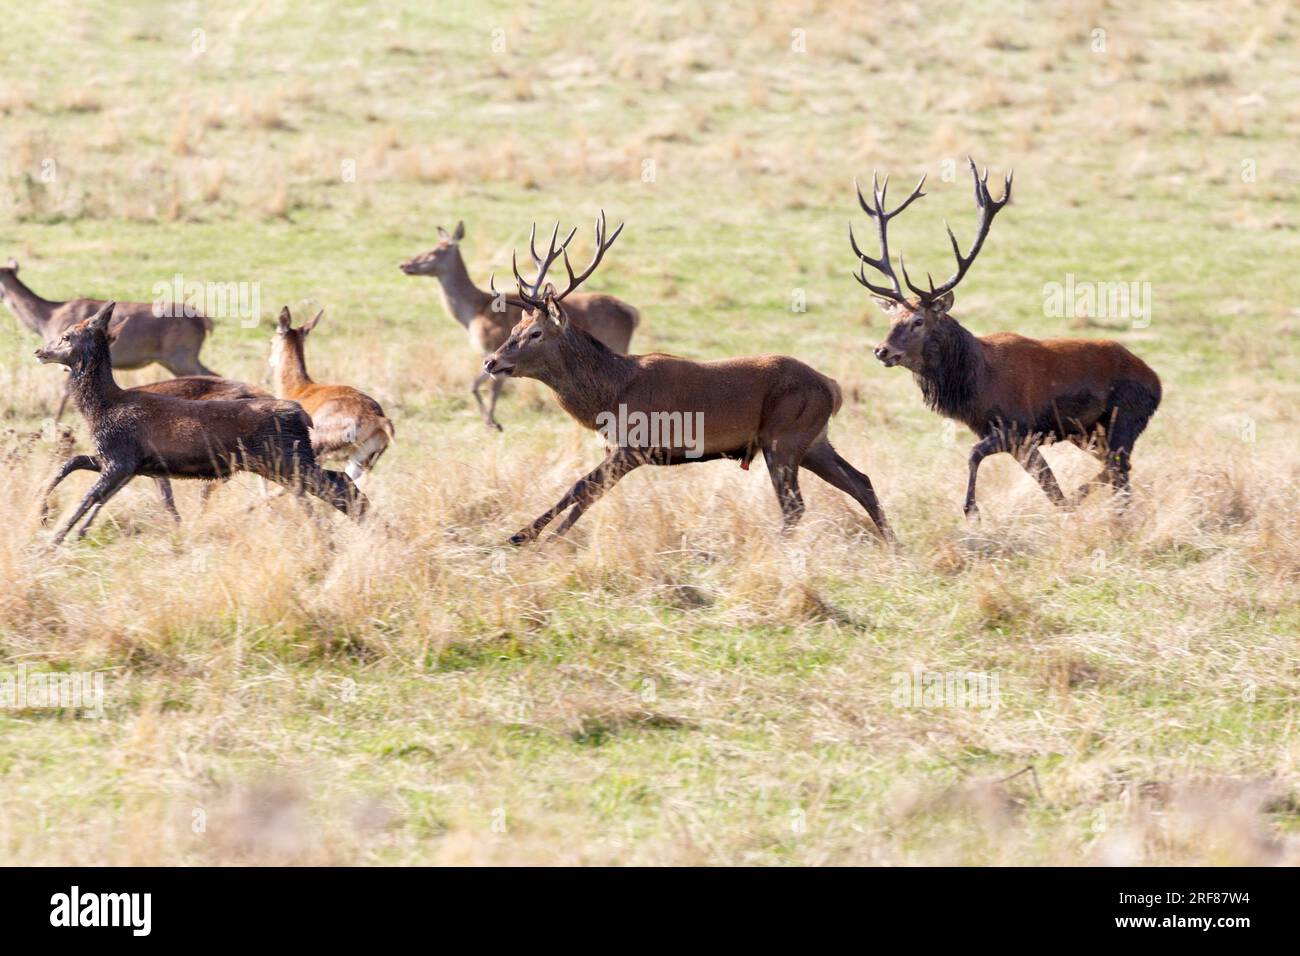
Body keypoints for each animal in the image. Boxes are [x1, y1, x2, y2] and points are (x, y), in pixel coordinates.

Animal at [1, 259, 216, 420]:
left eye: (65, 336)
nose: (38, 351)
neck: (46, 321)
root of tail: (204, 321)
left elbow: (64, 390)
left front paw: (56, 423)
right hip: (173, 359)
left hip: (182, 354)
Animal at [35, 302, 365, 544]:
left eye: (67, 335)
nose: (40, 351)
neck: (100, 409)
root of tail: (301, 415)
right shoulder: (122, 460)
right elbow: (72, 463)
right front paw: (44, 515)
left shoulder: (121, 458)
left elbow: (88, 496)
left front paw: (54, 539)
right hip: (288, 460)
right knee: (342, 483)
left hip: (285, 458)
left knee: (338, 488)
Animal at [400, 221, 640, 431]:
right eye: (513, 329)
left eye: (436, 251)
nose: (405, 264)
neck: (472, 314)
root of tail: (632, 312)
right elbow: (477, 386)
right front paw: (491, 422)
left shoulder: (490, 346)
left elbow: (486, 388)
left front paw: (493, 424)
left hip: (618, 342)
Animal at [482, 213, 893, 545]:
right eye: (514, 327)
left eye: (535, 333)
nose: (490, 361)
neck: (609, 396)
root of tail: (833, 388)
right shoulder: (619, 449)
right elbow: (587, 496)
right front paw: (548, 538)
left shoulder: (637, 444)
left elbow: (580, 486)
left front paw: (524, 536)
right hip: (814, 441)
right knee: (862, 481)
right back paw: (894, 546)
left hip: (785, 436)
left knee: (795, 505)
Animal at [850, 159, 1161, 516]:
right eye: (891, 317)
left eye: (918, 321)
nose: (882, 350)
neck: (976, 382)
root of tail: (1157, 383)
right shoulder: (1010, 436)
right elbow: (1050, 487)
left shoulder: (1018, 426)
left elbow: (977, 455)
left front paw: (971, 508)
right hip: (1089, 433)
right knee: (1119, 473)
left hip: (1124, 418)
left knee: (1119, 466)